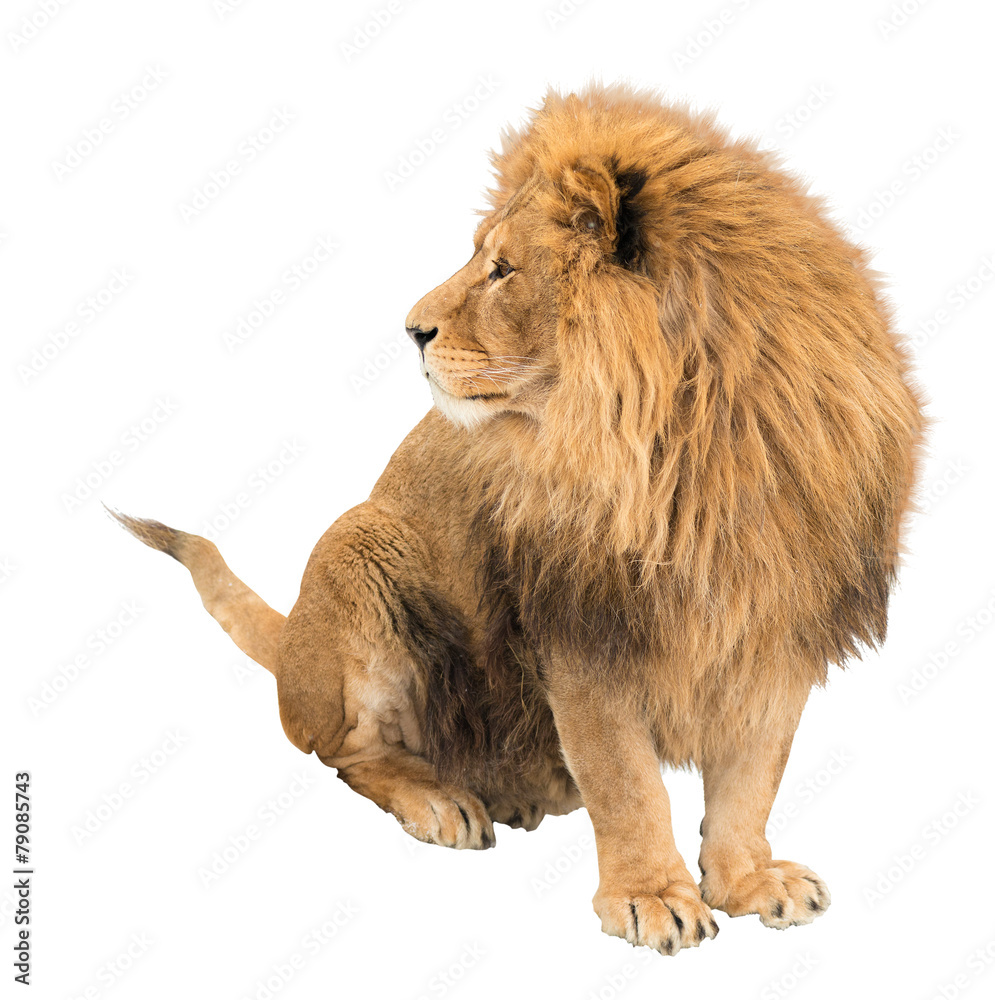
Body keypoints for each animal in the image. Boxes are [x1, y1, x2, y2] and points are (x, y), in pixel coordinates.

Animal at [111, 83, 925, 956]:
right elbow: (626, 781)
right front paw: (651, 896)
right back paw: (444, 798)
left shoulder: (778, 620)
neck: (699, 440)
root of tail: (294, 648)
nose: (410, 329)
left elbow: (752, 775)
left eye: (502, 269)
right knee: (346, 751)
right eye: (481, 256)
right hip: (358, 544)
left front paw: (746, 879)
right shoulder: (582, 625)